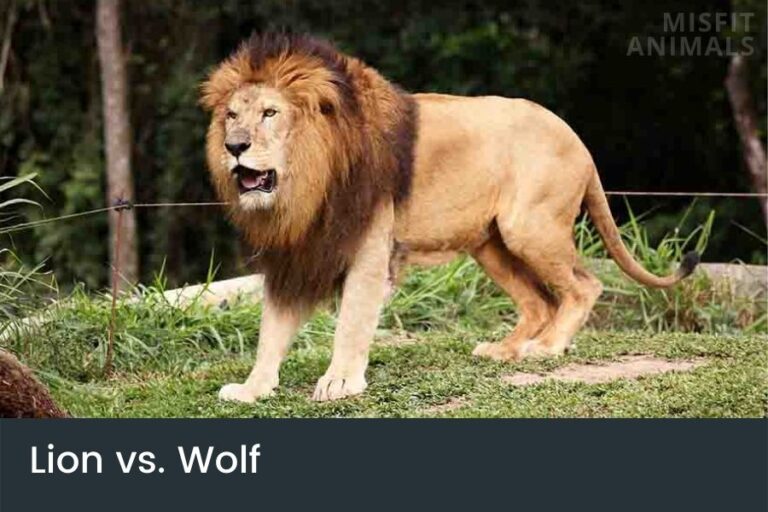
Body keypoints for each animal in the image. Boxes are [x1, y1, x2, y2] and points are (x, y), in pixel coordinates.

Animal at [201, 33, 699, 403]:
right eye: (232, 115)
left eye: (270, 113)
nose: (235, 146)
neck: (307, 181)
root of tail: (577, 139)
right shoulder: (296, 254)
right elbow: (272, 330)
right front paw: (251, 389)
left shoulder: (368, 248)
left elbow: (352, 322)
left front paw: (339, 381)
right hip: (491, 244)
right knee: (539, 302)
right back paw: (503, 350)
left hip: (529, 228)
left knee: (584, 286)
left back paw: (546, 347)